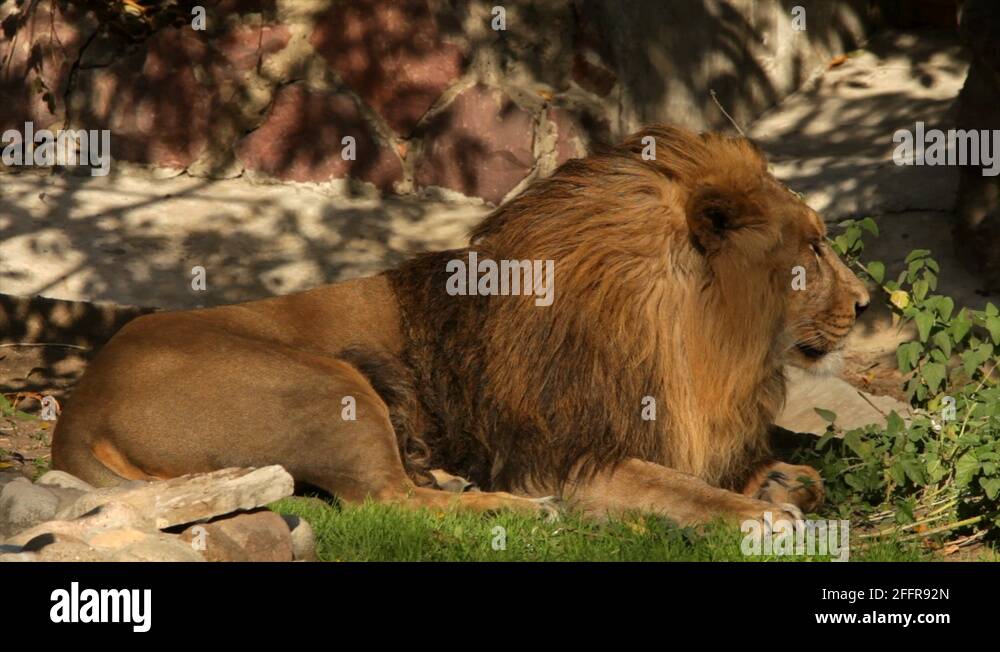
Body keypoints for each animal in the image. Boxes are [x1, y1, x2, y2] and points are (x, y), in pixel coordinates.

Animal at [51, 125, 869, 525]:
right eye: (814, 248)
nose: (865, 303)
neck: (701, 348)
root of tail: (82, 401)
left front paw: (783, 481)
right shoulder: (570, 457)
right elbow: (678, 489)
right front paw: (759, 516)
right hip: (326, 386)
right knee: (389, 501)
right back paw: (513, 510)